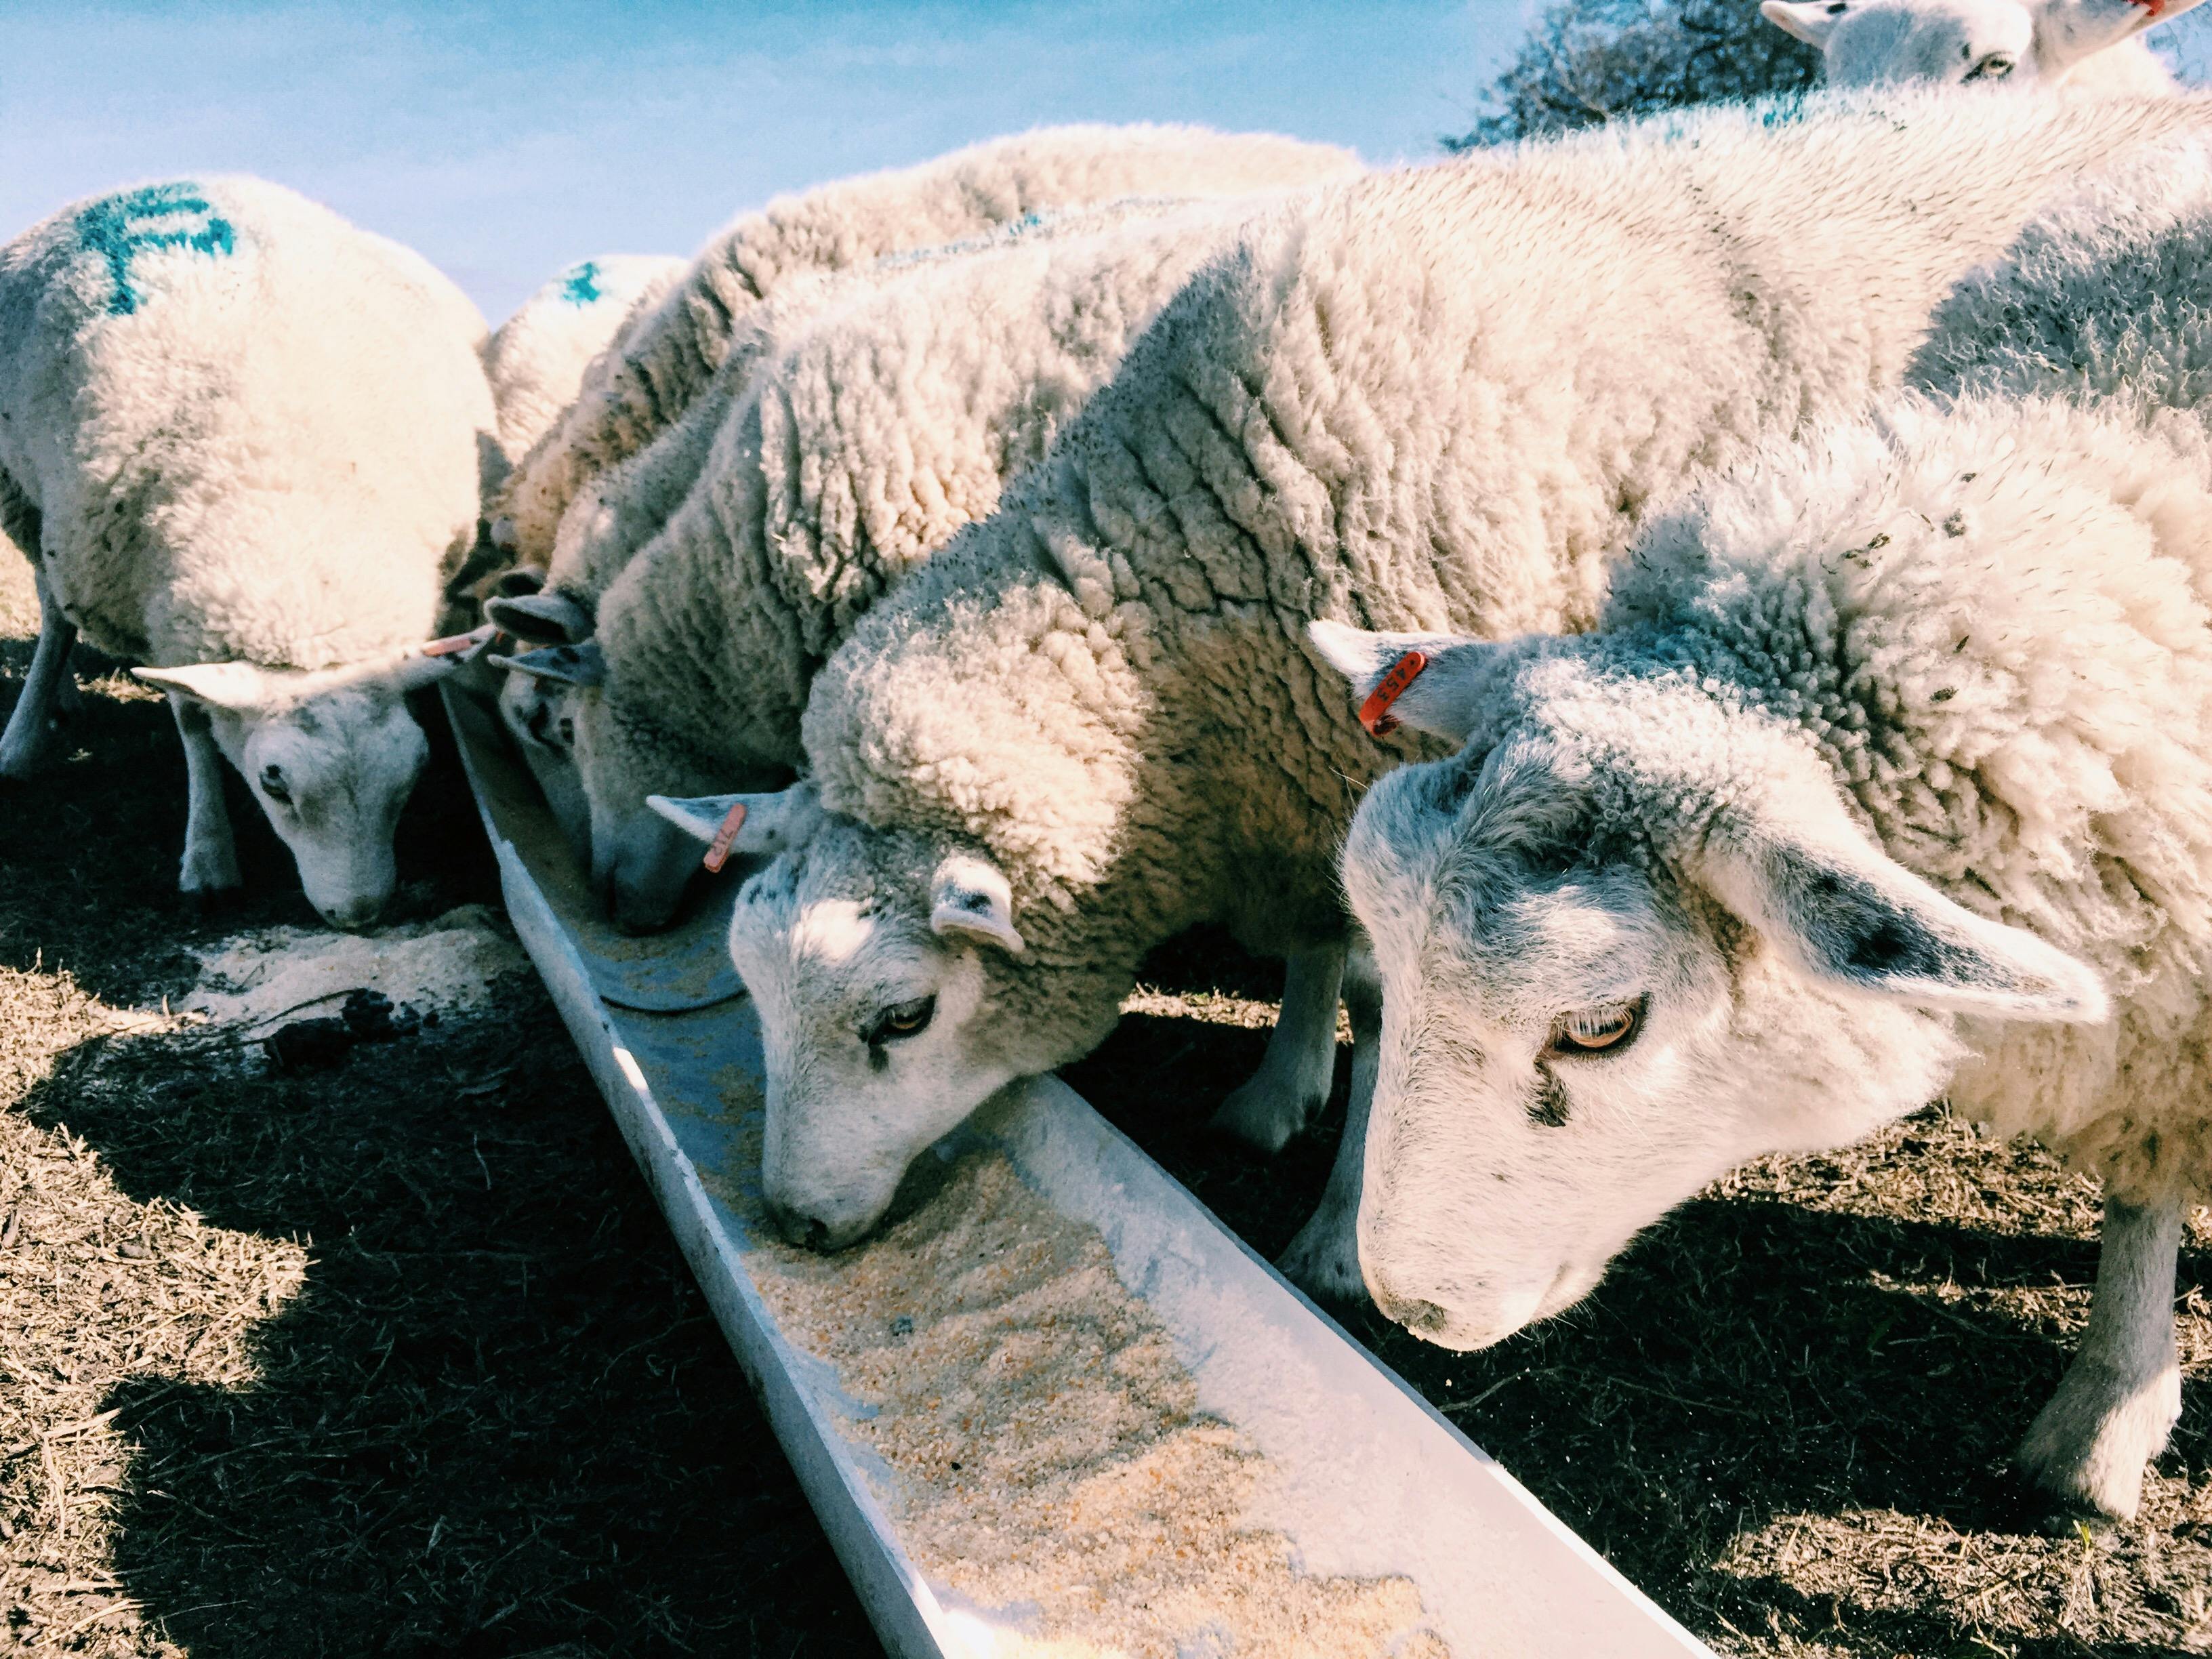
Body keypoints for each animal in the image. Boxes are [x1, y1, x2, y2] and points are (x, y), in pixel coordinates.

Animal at [0, 176, 497, 927]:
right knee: (54, 613)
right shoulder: (155, 612)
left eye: (415, 770)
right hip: (27, 499)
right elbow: (194, 728)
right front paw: (209, 858)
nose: (359, 915)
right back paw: (28, 733)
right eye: (275, 784)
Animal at [640, 88, 2212, 1273]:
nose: (792, 1225)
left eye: (901, 1017)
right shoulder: (1294, 785)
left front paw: (1335, 1236)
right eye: (750, 988)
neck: (1172, 605)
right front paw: (1277, 1089)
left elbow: (1393, 1013)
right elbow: (1320, 958)